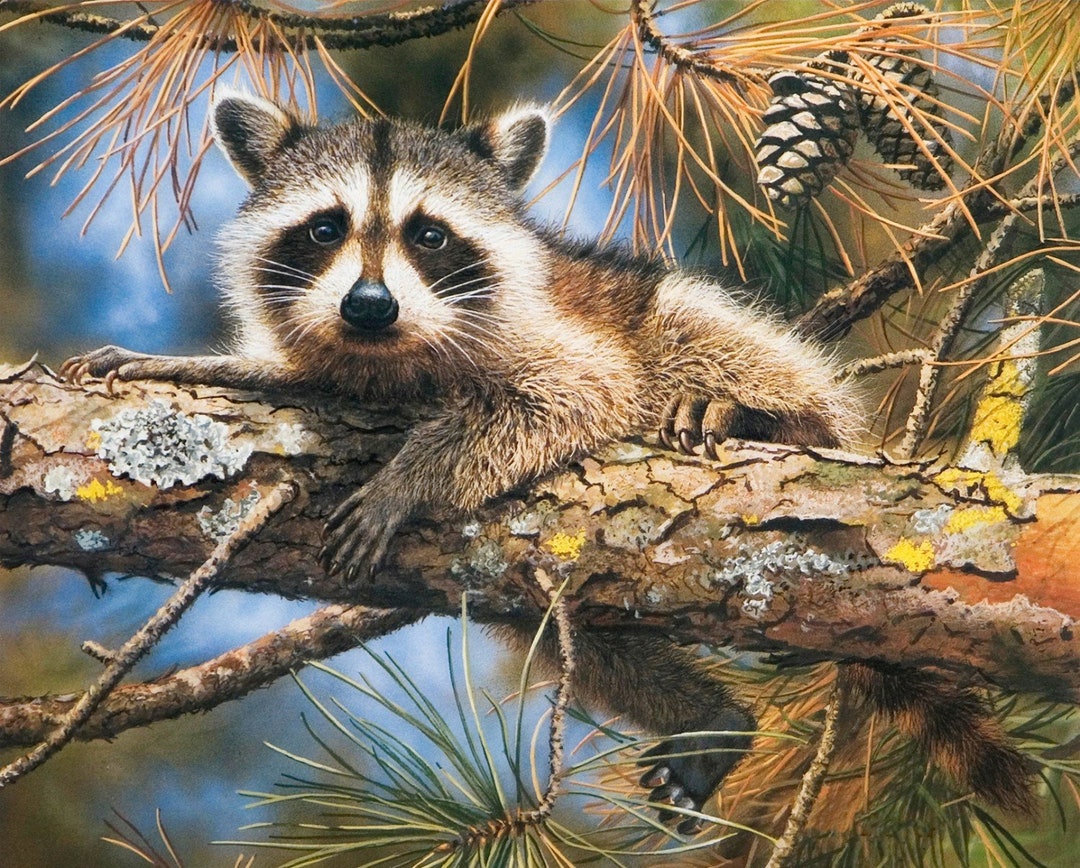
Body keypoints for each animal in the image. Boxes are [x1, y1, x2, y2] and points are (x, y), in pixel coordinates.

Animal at [62, 90, 1029, 825]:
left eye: (428, 235)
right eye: (326, 227)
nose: (368, 305)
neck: (386, 352)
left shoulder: (554, 335)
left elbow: (572, 393)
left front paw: (411, 475)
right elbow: (277, 372)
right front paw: (179, 364)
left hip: (689, 328)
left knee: (705, 331)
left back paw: (769, 417)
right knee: (575, 636)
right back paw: (709, 716)